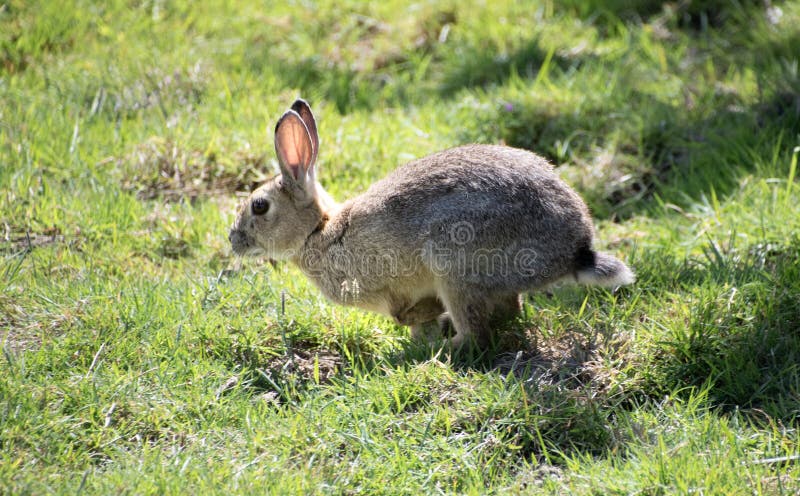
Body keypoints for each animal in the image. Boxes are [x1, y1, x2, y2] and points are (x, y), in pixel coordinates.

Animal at [228, 99, 635, 348]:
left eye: (259, 207)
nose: (233, 240)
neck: (321, 231)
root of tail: (576, 250)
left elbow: (408, 312)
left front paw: (420, 330)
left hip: (455, 264)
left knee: (477, 333)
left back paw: (440, 352)